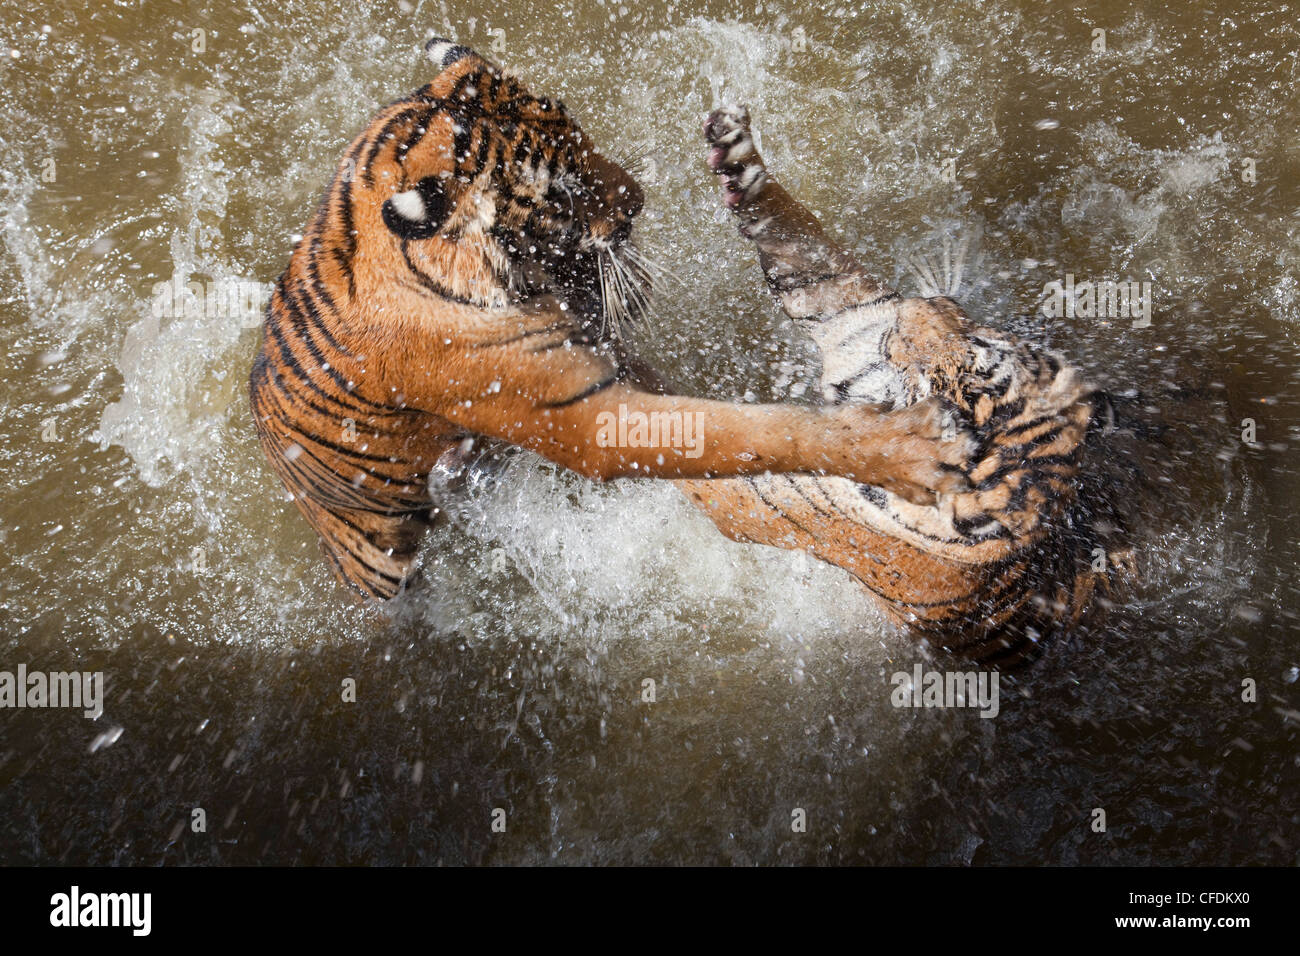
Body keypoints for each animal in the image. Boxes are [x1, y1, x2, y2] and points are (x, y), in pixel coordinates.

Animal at [248, 40, 973, 606]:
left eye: (576, 130)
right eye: (560, 194)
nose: (639, 200)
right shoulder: (585, 417)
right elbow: (752, 431)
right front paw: (913, 448)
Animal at [679, 105, 1122, 667]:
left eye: (958, 399)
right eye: (976, 342)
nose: (913, 309)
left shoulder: (765, 498)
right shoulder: (847, 313)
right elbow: (800, 239)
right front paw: (737, 158)